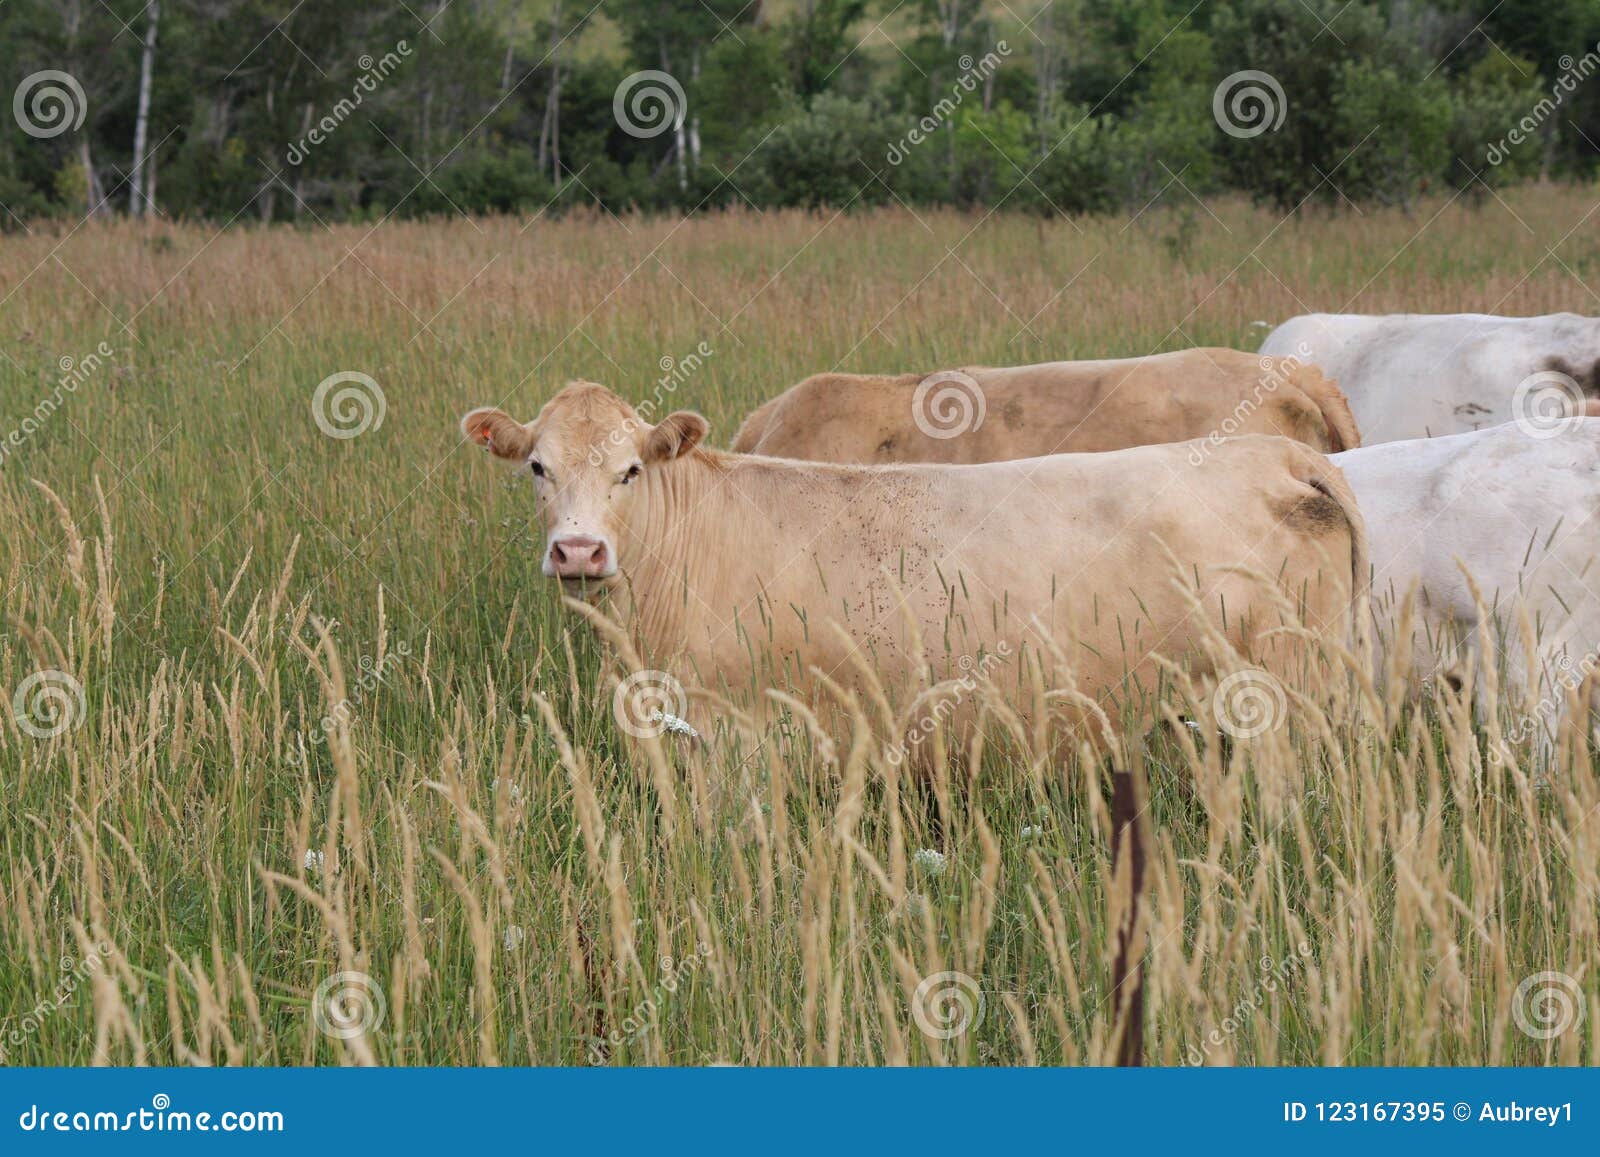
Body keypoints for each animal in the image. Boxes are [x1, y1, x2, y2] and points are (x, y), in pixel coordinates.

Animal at [460, 381, 1367, 756]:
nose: (579, 551)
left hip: (1288, 702)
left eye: (630, 471)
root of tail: (1279, 454)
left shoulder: (744, 737)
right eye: (537, 466)